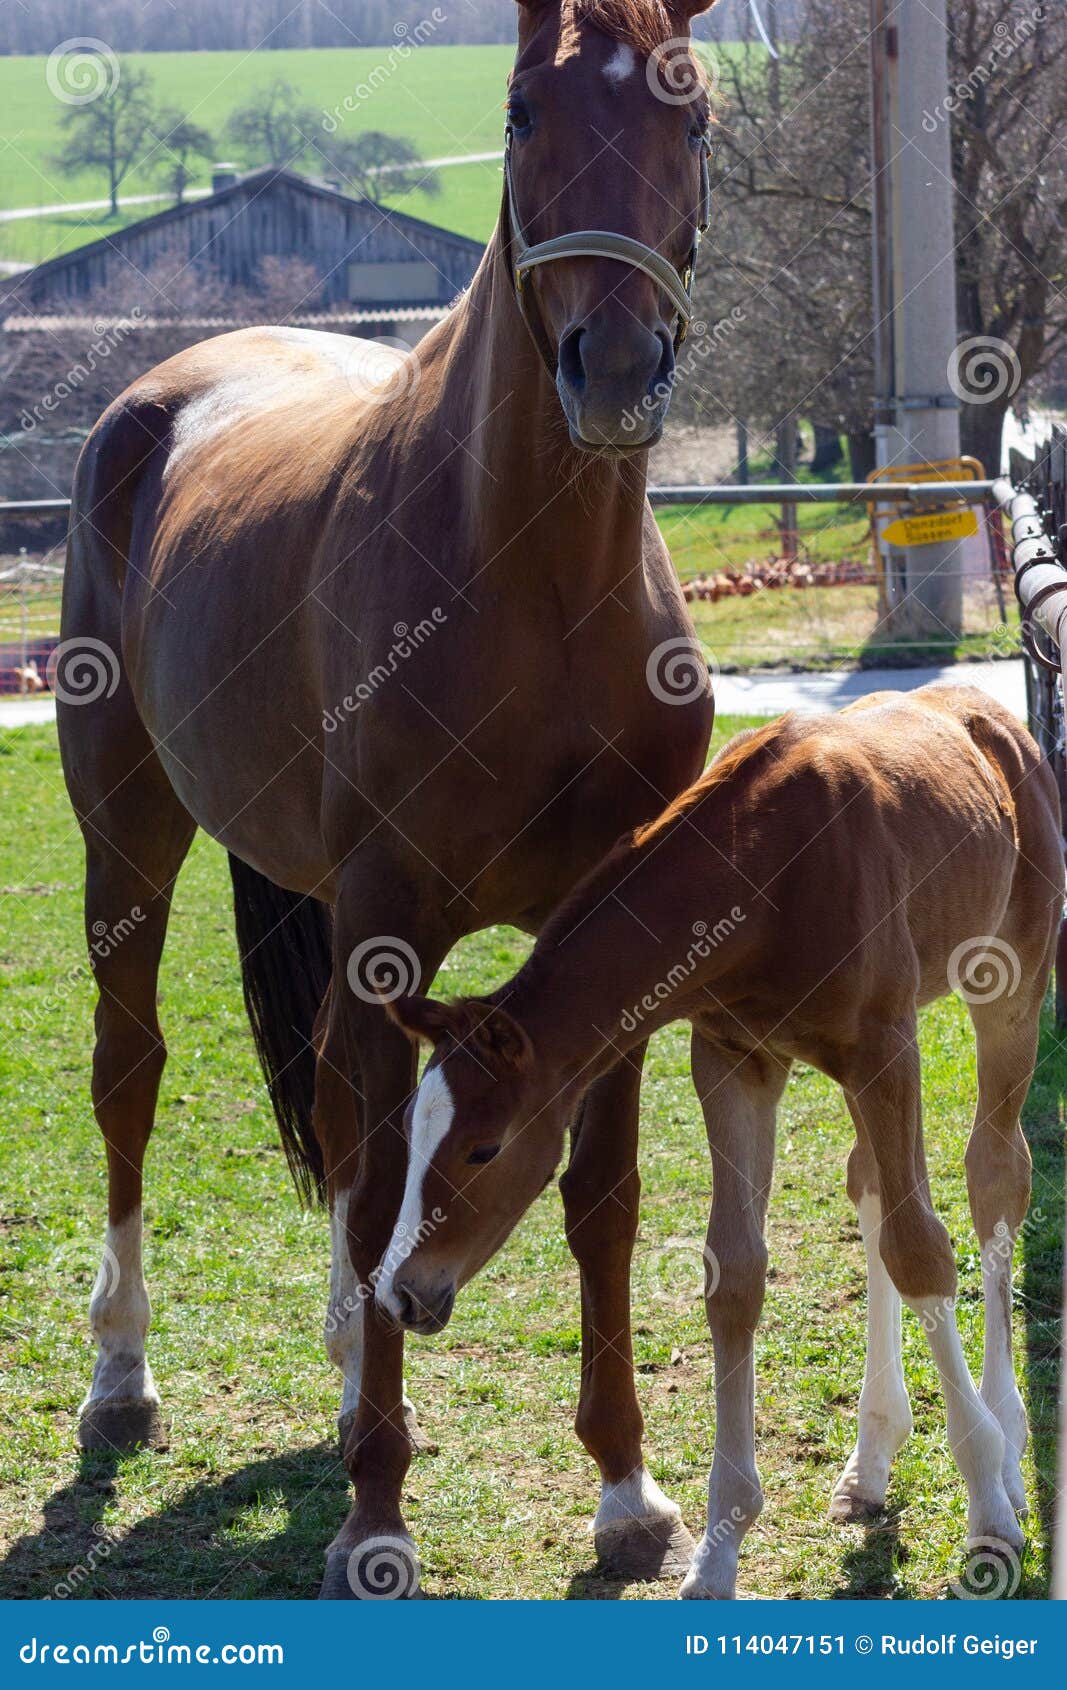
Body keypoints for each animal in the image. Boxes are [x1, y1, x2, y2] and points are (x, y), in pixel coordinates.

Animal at [56, 0, 719, 1599]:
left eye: (693, 113)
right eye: (522, 108)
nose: (614, 365)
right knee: (134, 1076)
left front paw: (624, 1487)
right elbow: (368, 1192)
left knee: (339, 1106)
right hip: (129, 841)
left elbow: (597, 1196)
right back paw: (123, 1380)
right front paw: (374, 1515)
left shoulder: (612, 933)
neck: (536, 581)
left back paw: (354, 1365)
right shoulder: (383, 923)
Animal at [382, 685, 1063, 1597]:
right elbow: (735, 1274)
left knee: (993, 1175)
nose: (402, 1294)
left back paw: (1010, 1444)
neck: (762, 873)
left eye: (483, 1150)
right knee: (871, 1185)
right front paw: (715, 1553)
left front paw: (987, 1505)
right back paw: (871, 1457)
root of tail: (992, 710)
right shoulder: (733, 1058)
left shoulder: (882, 1049)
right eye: (411, 1135)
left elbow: (922, 1249)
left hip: (1008, 988)